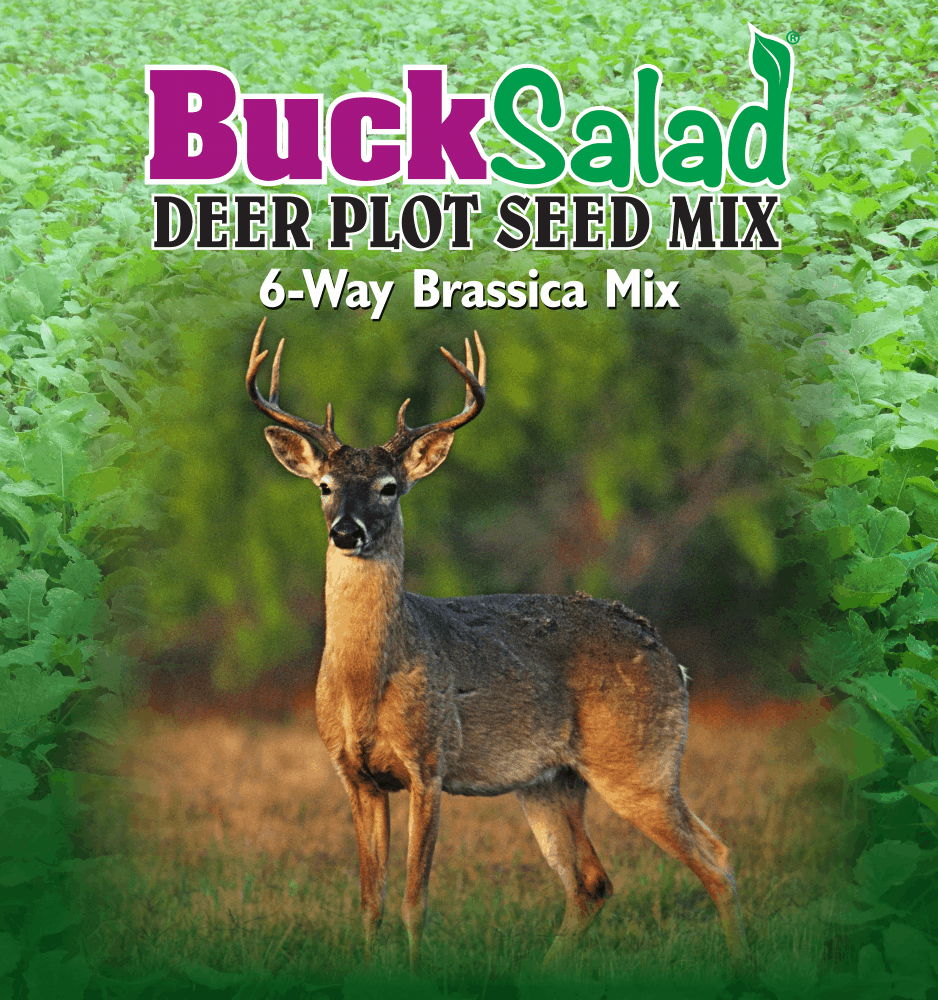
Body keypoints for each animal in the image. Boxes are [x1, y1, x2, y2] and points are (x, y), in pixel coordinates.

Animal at [245, 318, 748, 972]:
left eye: (390, 487)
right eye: (325, 486)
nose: (346, 531)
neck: (364, 682)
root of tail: (671, 656)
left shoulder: (429, 762)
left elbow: (413, 900)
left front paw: (414, 973)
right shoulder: (355, 775)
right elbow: (370, 902)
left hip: (641, 761)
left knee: (714, 861)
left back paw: (742, 966)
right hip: (551, 781)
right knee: (595, 881)